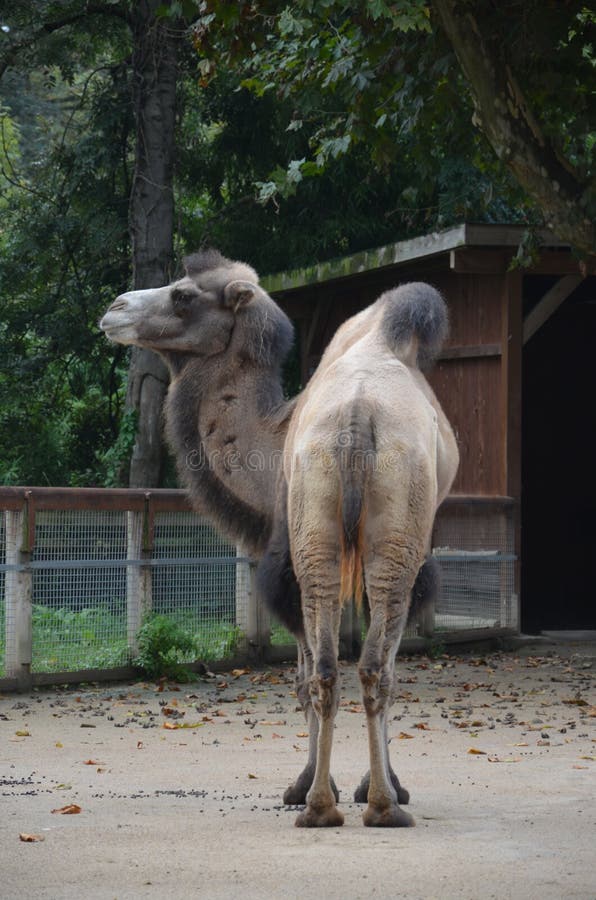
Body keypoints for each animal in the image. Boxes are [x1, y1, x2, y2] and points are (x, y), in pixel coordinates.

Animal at [100, 250, 458, 826]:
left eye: (184, 295)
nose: (114, 308)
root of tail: (358, 418)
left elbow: (310, 674)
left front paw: (334, 783)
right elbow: (324, 673)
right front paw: (333, 783)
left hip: (354, 545)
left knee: (352, 669)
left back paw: (349, 804)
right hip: (360, 547)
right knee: (358, 668)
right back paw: (353, 806)